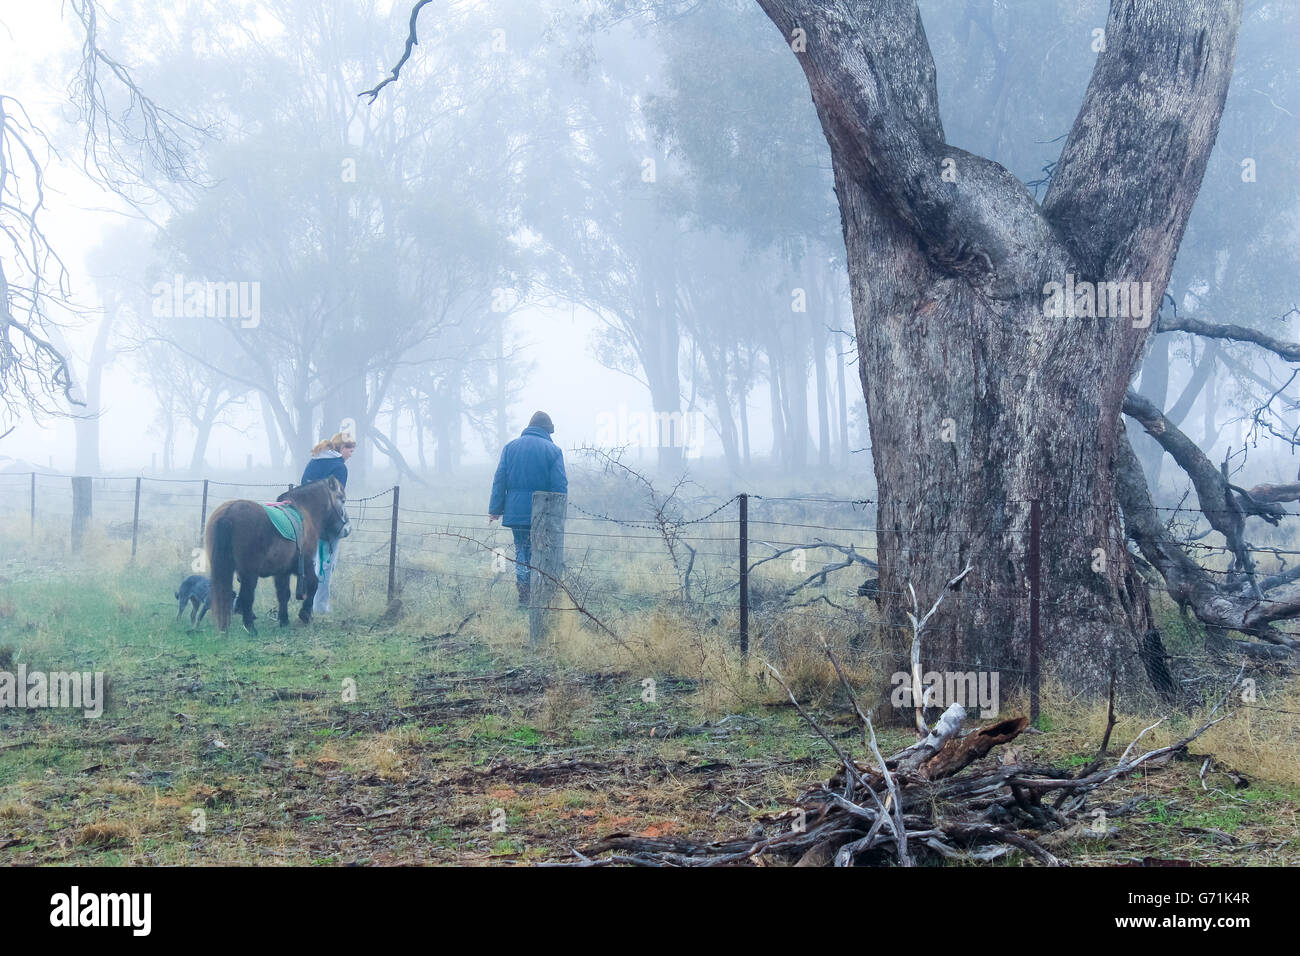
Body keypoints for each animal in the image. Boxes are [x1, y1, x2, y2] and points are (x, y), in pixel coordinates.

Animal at [205, 476, 350, 635]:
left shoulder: (282, 571)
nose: (347, 529)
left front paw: (284, 619)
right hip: (249, 573)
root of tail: (228, 513)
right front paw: (305, 614)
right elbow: (313, 584)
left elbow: (283, 594)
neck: (304, 512)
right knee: (247, 596)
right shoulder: (305, 563)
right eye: (342, 500)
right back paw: (250, 628)